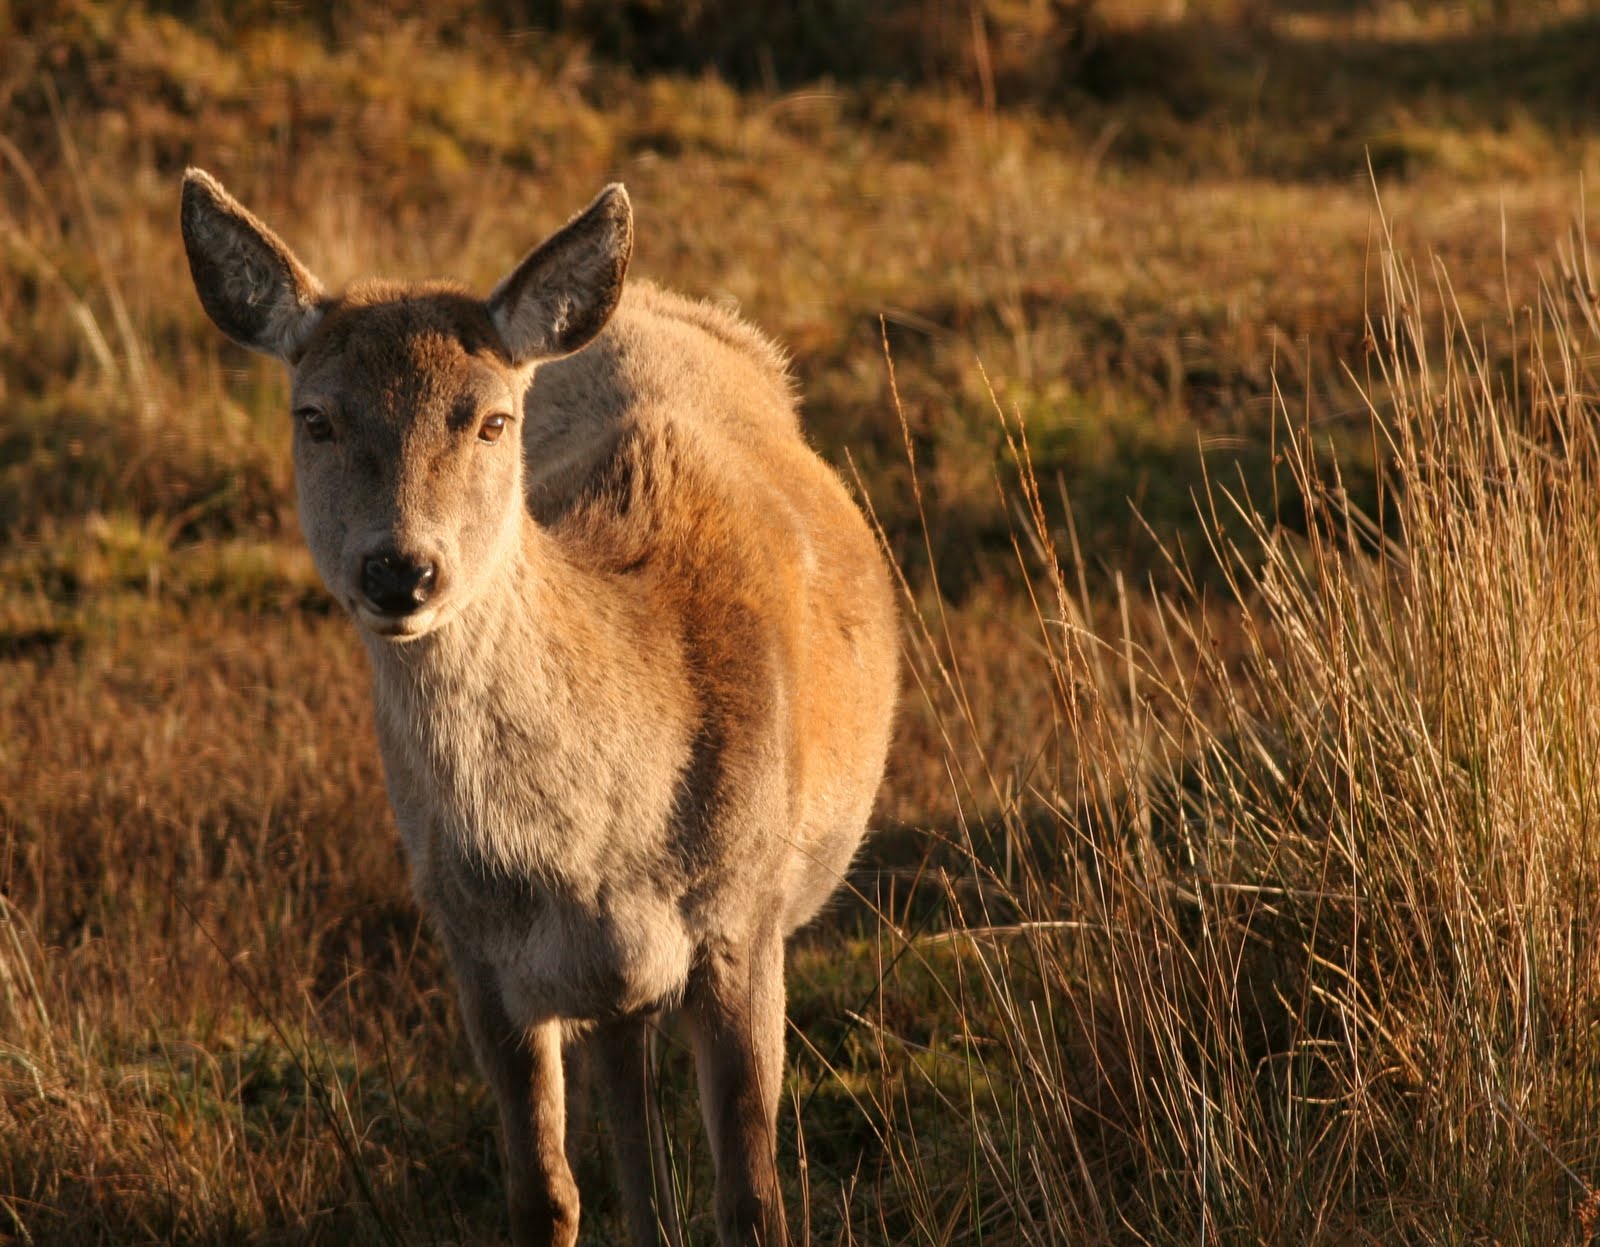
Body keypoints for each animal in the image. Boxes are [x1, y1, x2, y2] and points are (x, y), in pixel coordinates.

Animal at [180, 169, 898, 1247]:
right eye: (315, 416)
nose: (400, 569)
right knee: (630, 1118)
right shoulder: (475, 953)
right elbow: (544, 1193)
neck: (597, 844)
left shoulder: (744, 916)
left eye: (488, 418)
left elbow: (752, 1201)